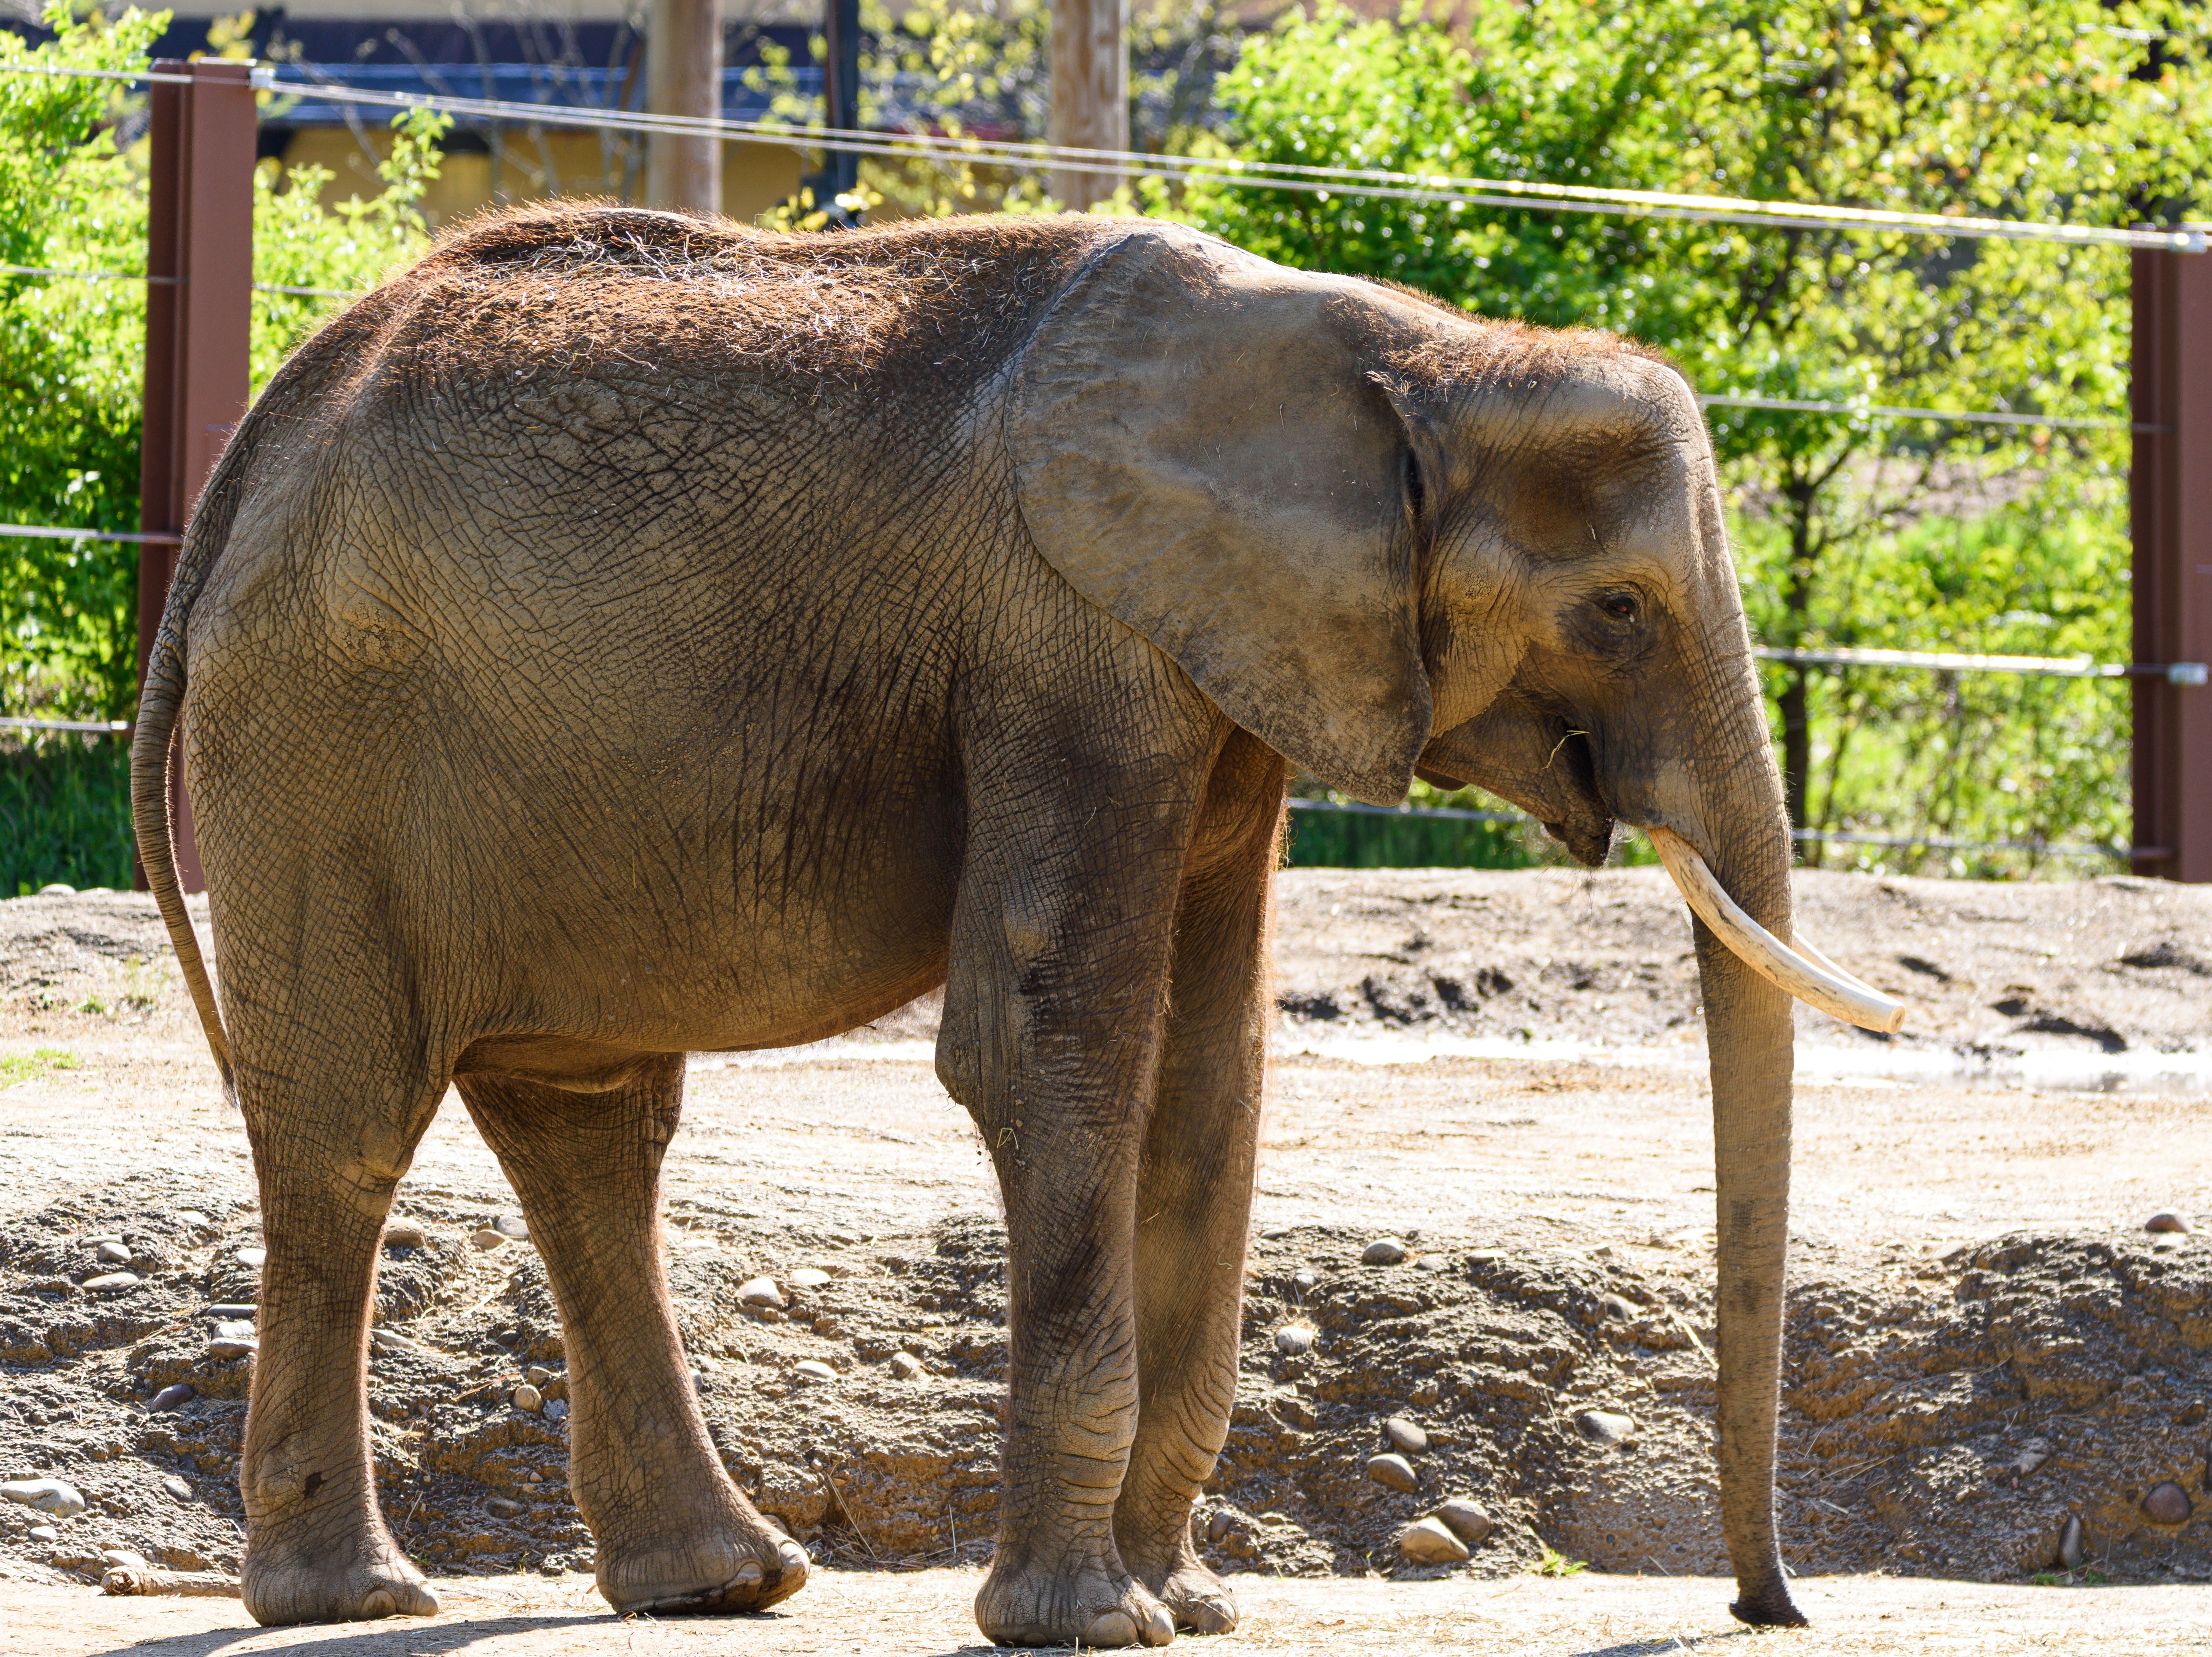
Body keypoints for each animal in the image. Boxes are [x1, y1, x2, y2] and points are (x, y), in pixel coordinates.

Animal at [133, 205, 1898, 1642]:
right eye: (1615, 607)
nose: (1769, 1607)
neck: (1416, 356)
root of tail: (260, 440)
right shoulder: (1066, 638)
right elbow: (1056, 1039)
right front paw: (1092, 1621)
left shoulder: (1220, 661)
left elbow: (1207, 1070)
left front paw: (1186, 1601)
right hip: (321, 740)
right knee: (351, 1129)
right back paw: (356, 1596)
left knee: (587, 1127)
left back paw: (724, 1581)